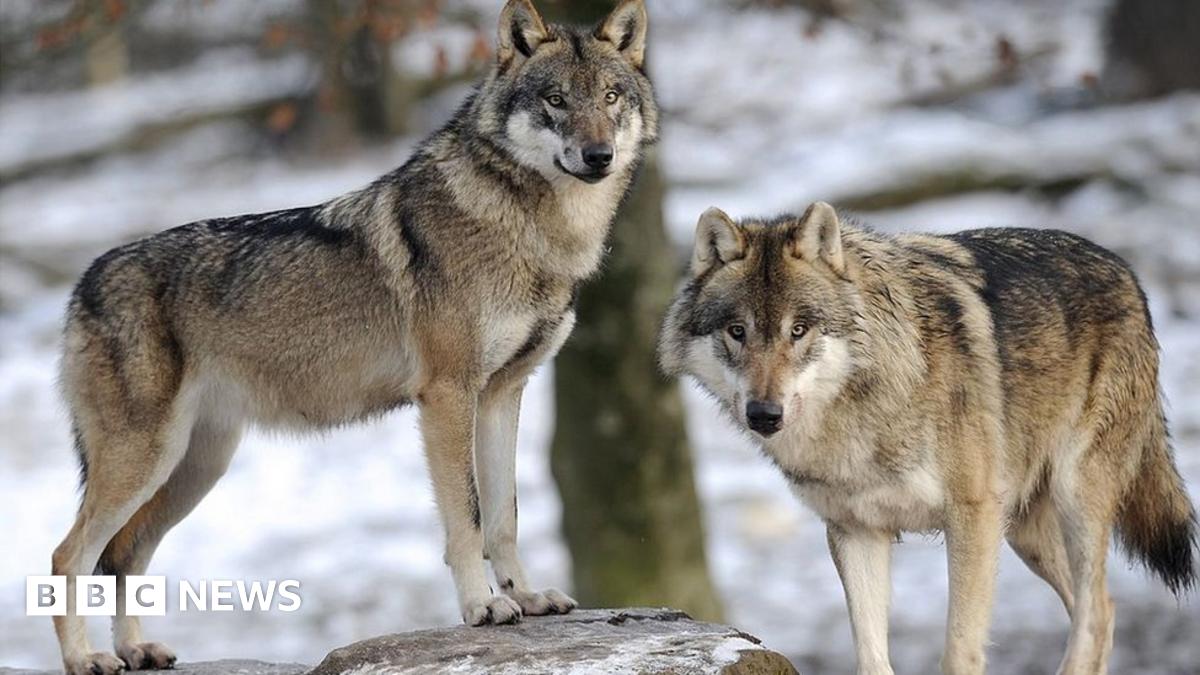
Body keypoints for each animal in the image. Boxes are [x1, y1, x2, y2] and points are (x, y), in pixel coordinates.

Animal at [51, 1, 656, 672]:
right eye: (555, 99)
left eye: (610, 97)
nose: (598, 155)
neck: (534, 234)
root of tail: (84, 282)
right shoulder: (448, 396)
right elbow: (468, 519)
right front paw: (483, 607)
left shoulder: (502, 394)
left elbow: (505, 516)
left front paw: (526, 597)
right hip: (145, 462)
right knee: (69, 555)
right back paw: (86, 659)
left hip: (194, 467)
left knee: (126, 554)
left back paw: (136, 649)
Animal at [659, 202, 1197, 674]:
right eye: (737, 331)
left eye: (799, 330)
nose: (764, 414)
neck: (859, 413)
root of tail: (1124, 269)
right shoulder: (857, 530)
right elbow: (872, 658)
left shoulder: (972, 518)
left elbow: (960, 650)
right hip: (1024, 532)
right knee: (1104, 608)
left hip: (1072, 497)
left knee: (1094, 611)